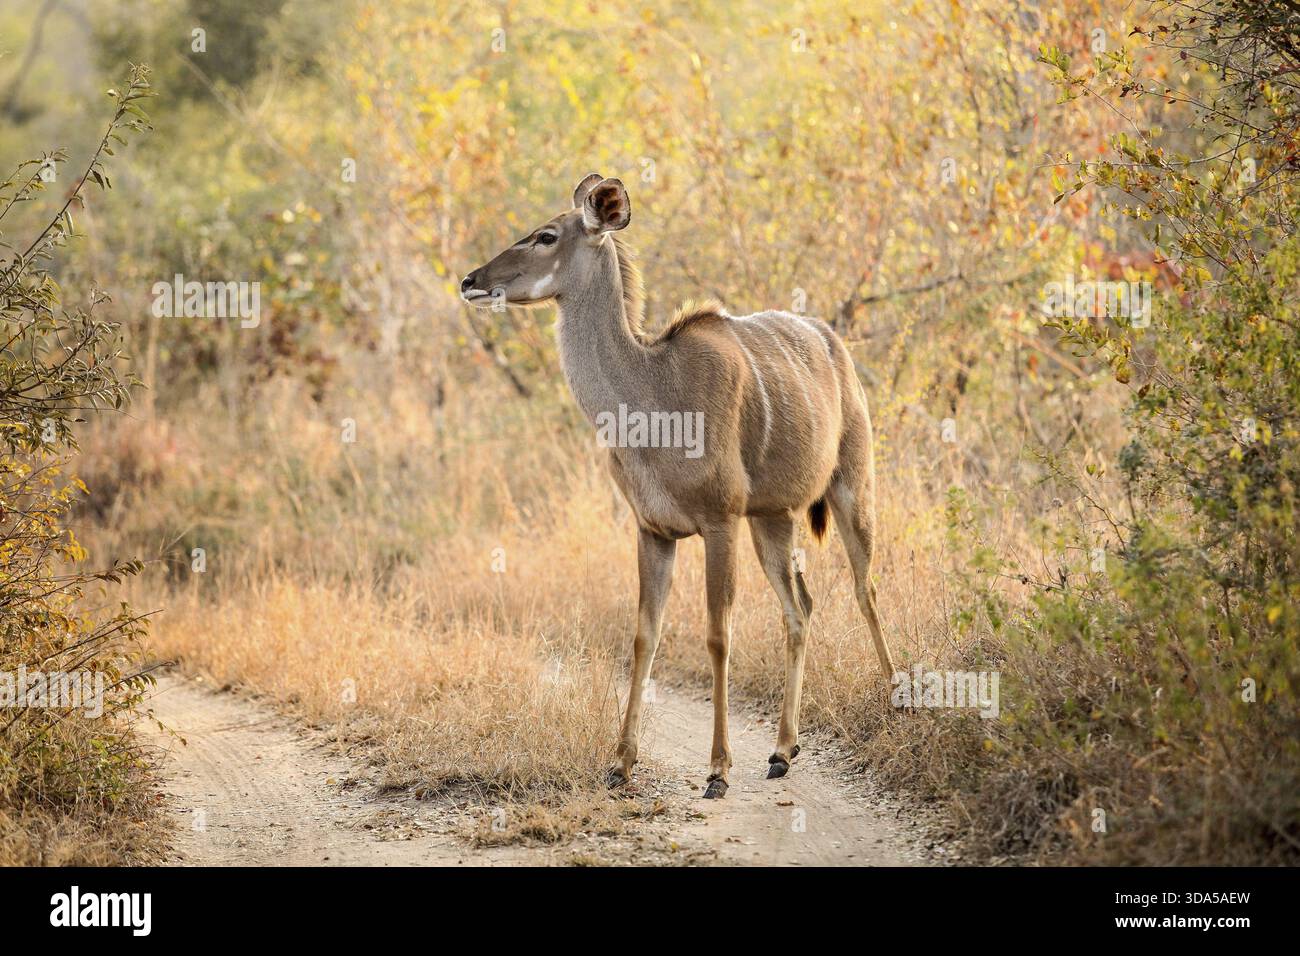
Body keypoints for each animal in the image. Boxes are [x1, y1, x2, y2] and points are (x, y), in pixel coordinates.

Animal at [461, 174, 894, 799]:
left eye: (545, 235)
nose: (470, 280)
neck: (655, 399)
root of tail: (834, 344)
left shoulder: (719, 521)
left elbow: (718, 633)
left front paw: (717, 771)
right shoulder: (654, 530)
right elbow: (645, 635)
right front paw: (620, 763)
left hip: (850, 488)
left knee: (865, 589)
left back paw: (897, 705)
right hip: (772, 519)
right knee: (801, 607)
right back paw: (782, 751)